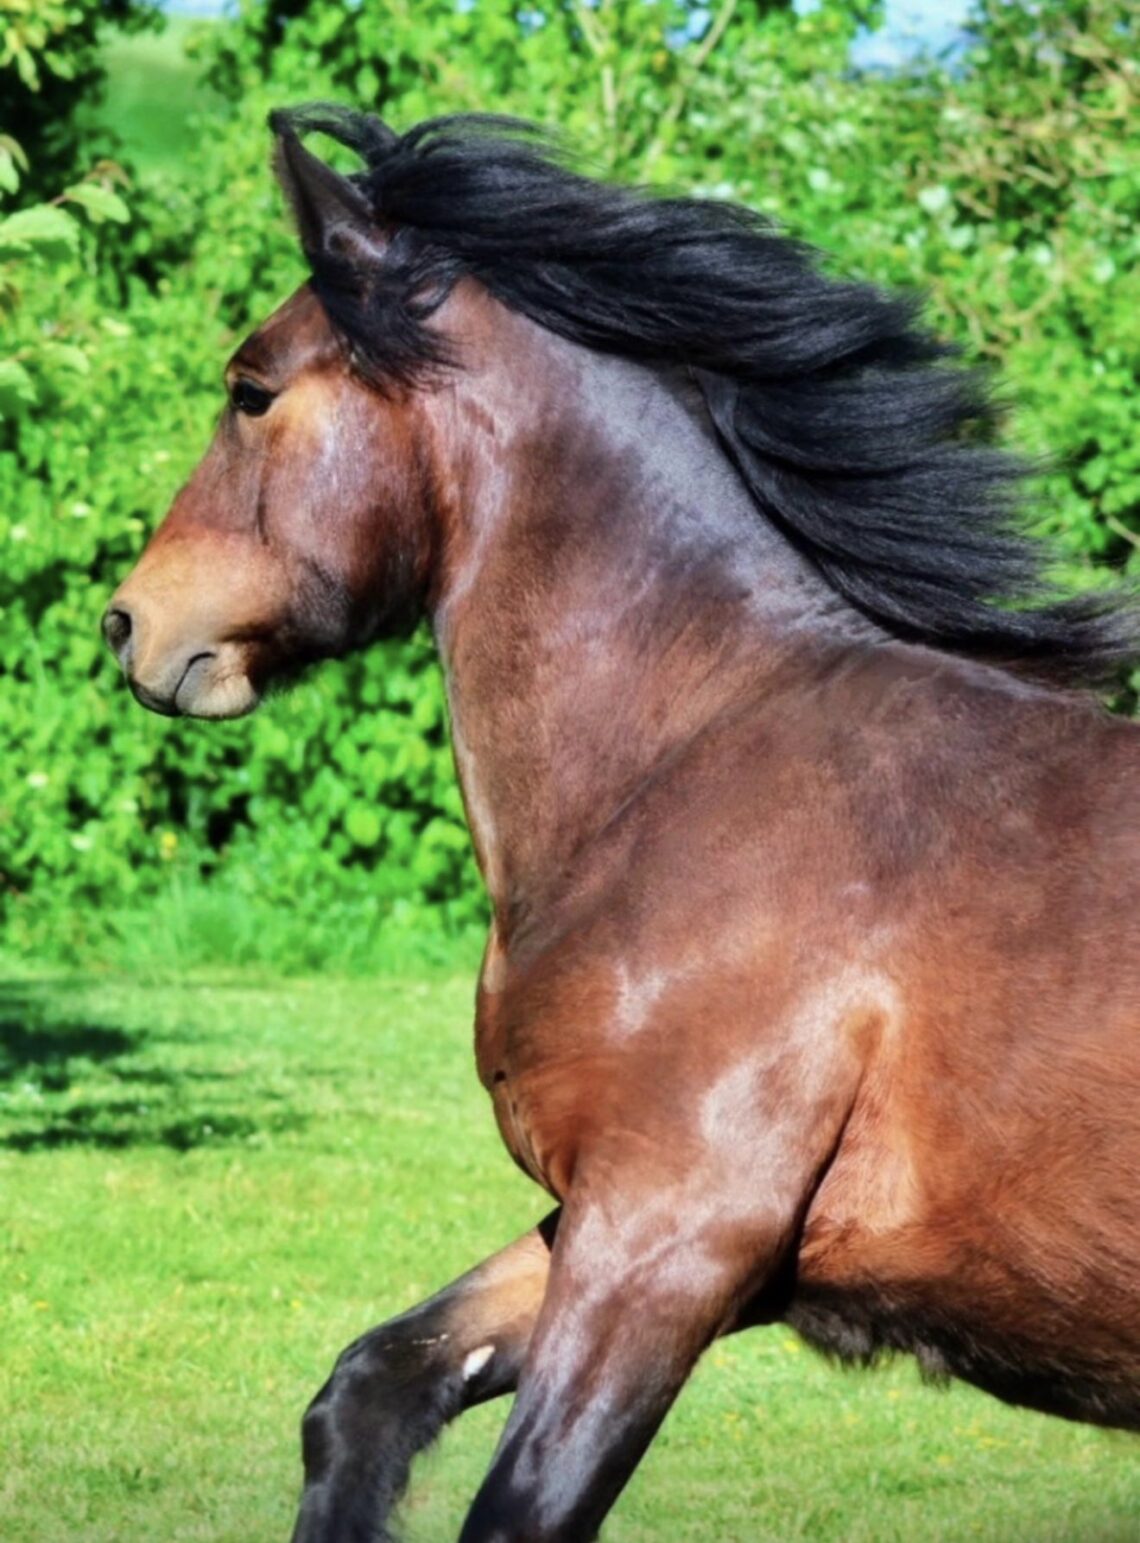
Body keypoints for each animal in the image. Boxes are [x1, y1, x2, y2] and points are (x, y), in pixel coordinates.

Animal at [104, 106, 1140, 1542]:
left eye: (251, 390)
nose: (133, 624)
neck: (688, 759)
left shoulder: (670, 1236)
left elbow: (522, 1503)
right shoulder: (611, 1222)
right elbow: (368, 1385)